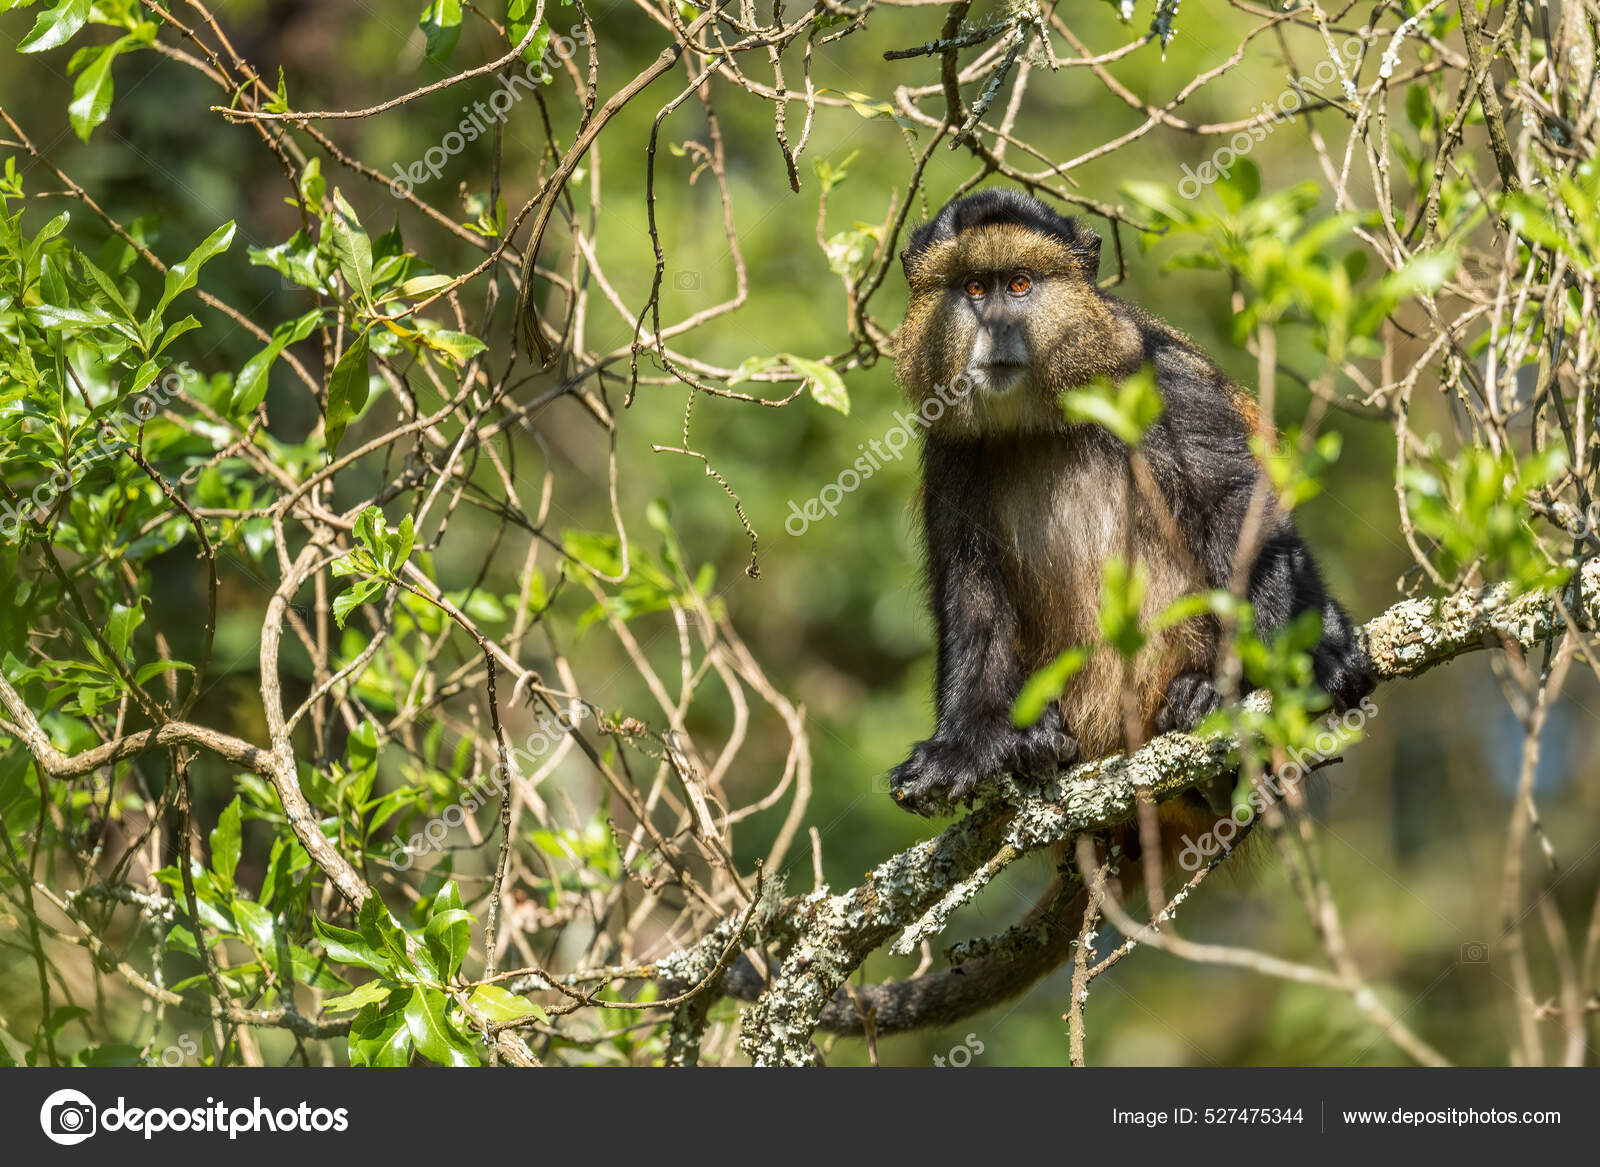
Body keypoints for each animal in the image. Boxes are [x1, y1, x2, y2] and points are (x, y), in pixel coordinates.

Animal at [718, 187, 1375, 1038]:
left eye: (1022, 284)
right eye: (974, 288)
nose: (997, 326)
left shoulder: (1163, 376)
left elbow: (1237, 513)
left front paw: (1319, 649)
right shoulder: (947, 447)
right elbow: (971, 592)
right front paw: (964, 748)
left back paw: (1202, 710)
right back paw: (1041, 746)